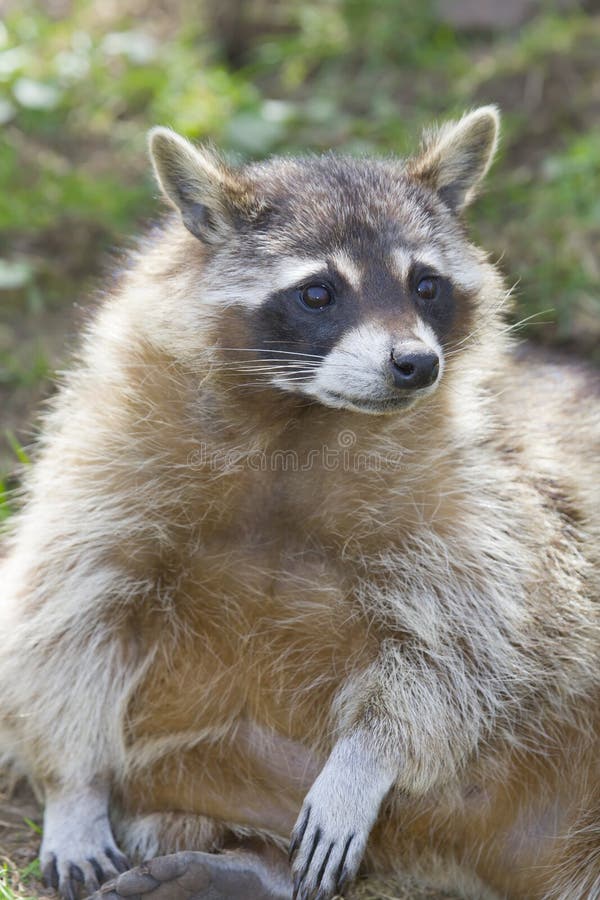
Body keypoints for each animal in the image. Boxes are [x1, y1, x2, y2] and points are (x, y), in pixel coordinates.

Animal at [0, 107, 599, 900]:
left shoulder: (486, 487)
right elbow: (59, 615)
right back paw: (238, 864)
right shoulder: (110, 456)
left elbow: (473, 641)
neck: (299, 413)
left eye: (426, 285)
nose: (417, 364)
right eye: (318, 292)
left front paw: (367, 757)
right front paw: (72, 787)